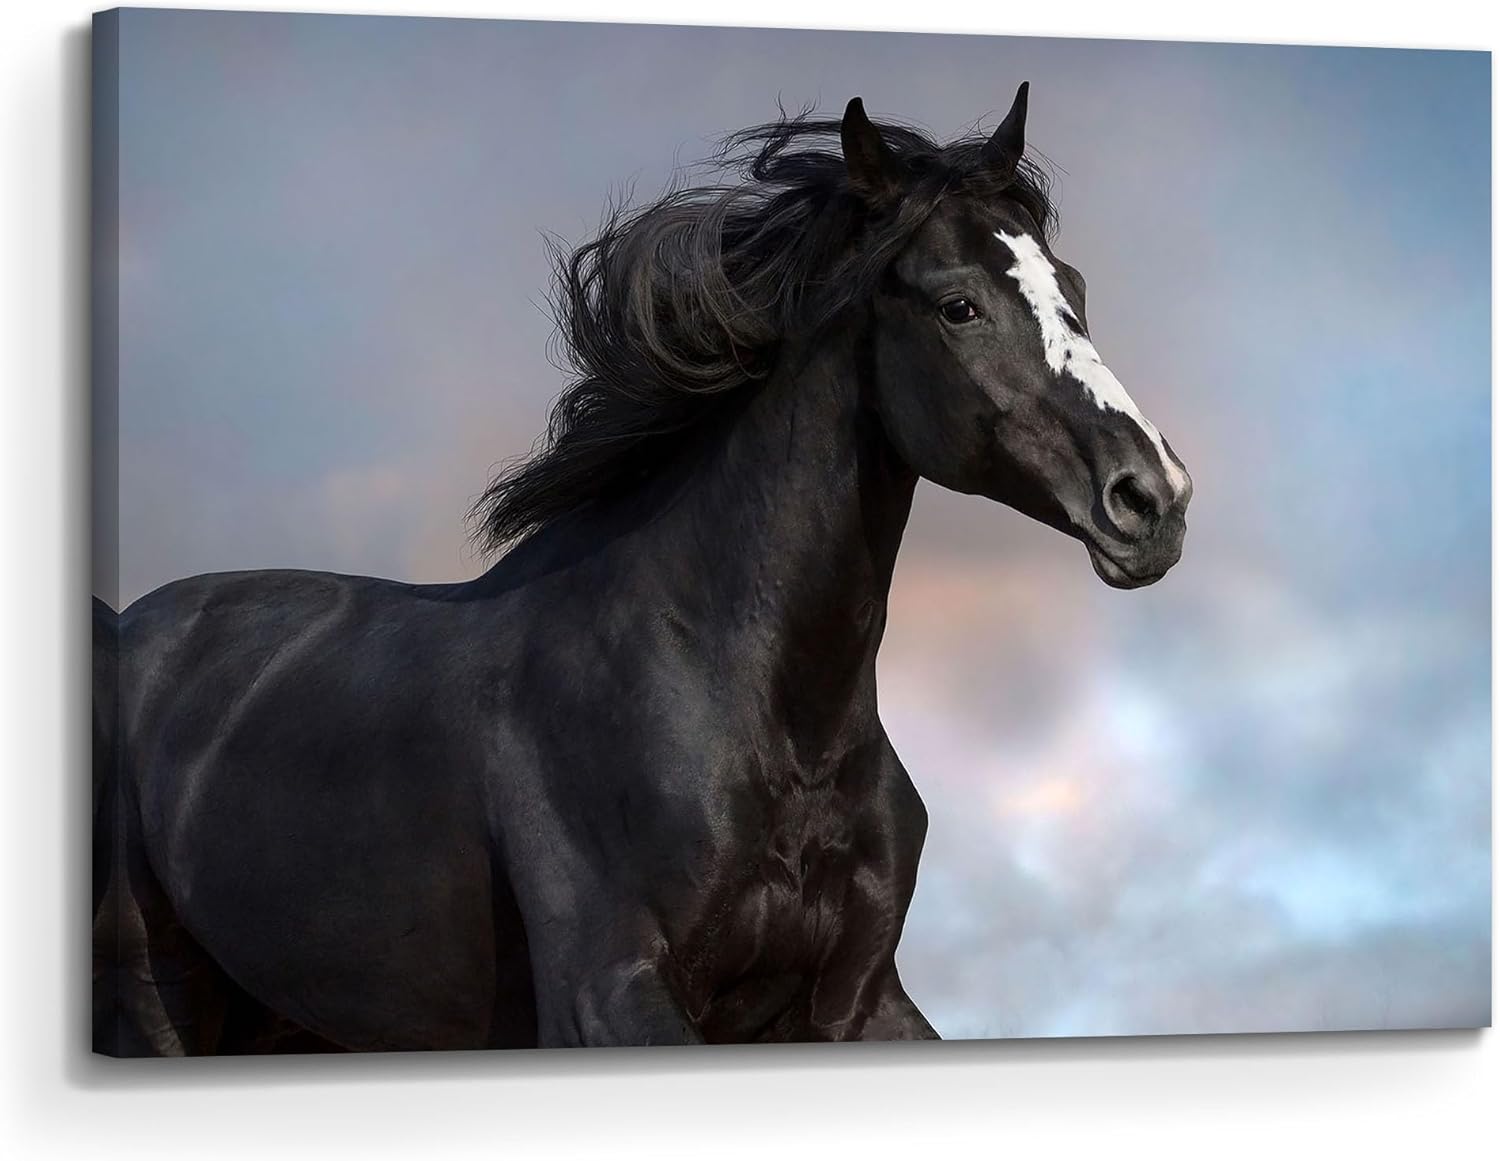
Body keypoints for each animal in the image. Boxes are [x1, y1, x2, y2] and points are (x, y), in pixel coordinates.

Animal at [93, 85, 1191, 1054]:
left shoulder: (855, 1000)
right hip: (154, 993)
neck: (758, 714)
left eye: (1074, 290)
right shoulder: (607, 994)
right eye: (958, 306)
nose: (1155, 499)